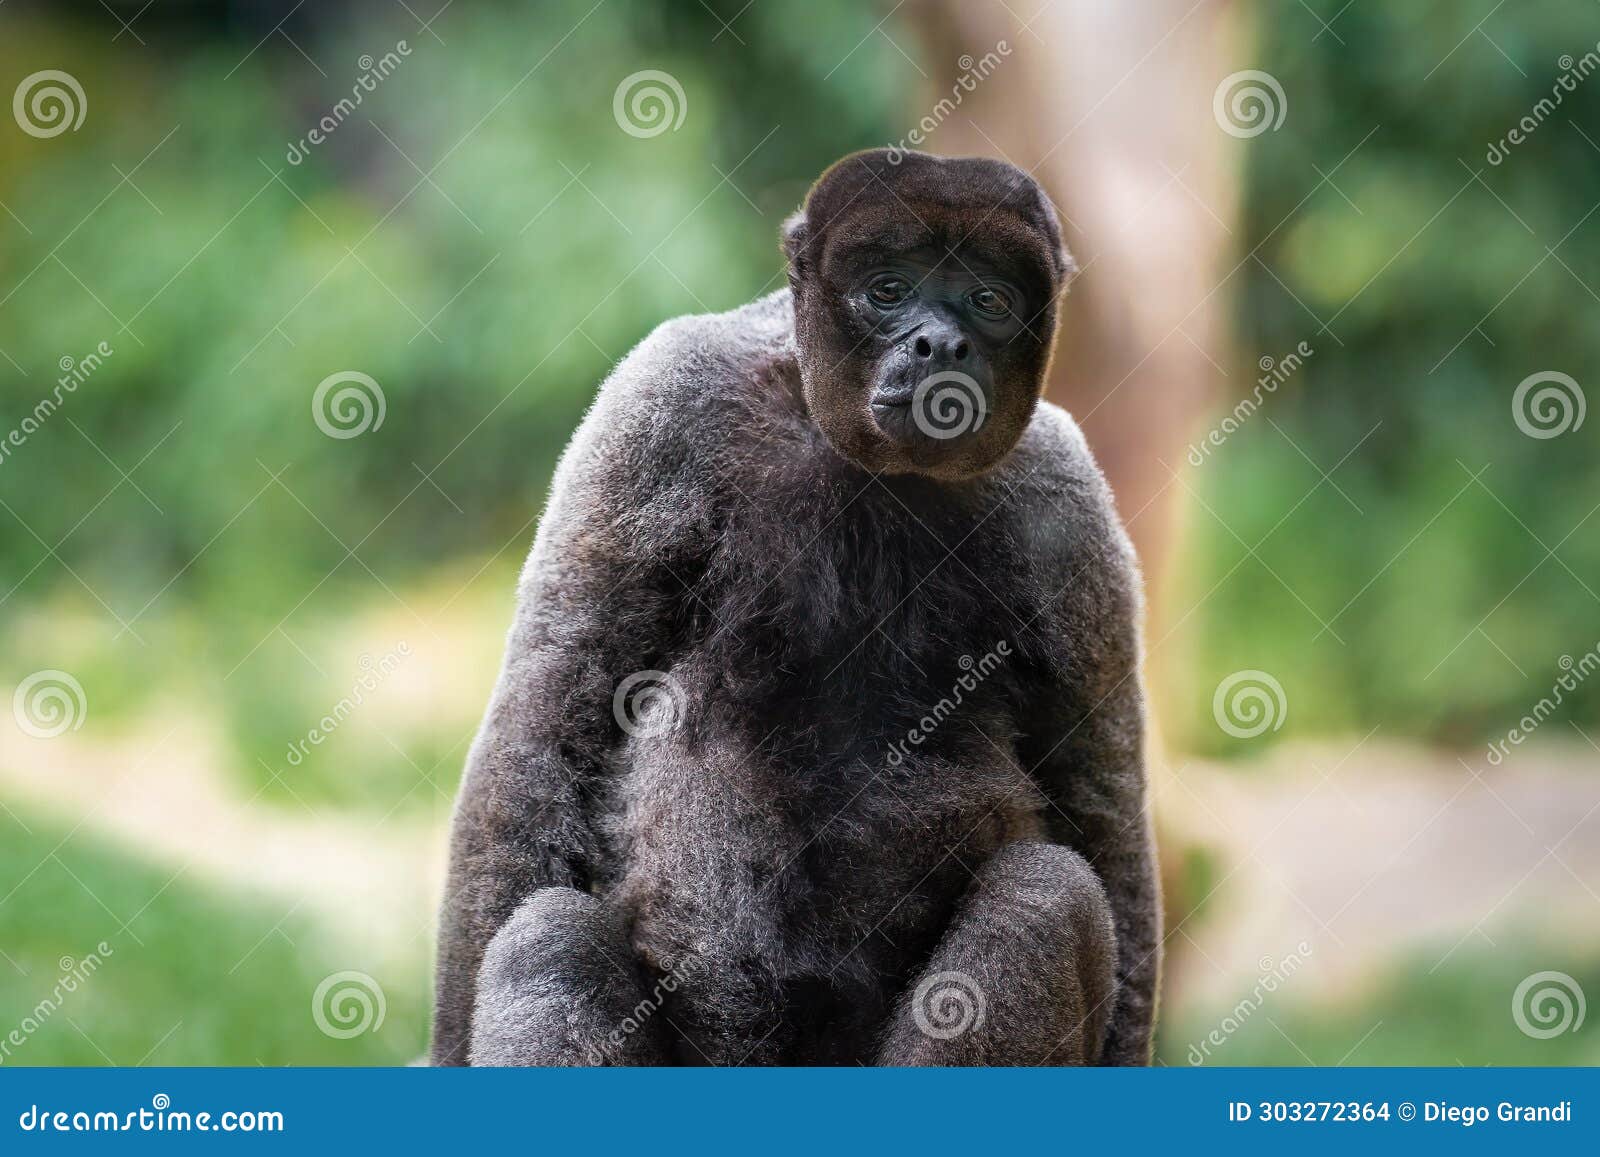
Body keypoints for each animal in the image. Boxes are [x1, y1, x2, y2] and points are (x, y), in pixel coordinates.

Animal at [431, 148, 1160, 1067]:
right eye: (888, 289)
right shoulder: (662, 398)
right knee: (547, 931)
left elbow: (1100, 810)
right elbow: (543, 737)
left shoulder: (1069, 502)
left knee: (1048, 889)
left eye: (989, 300)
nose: (939, 341)